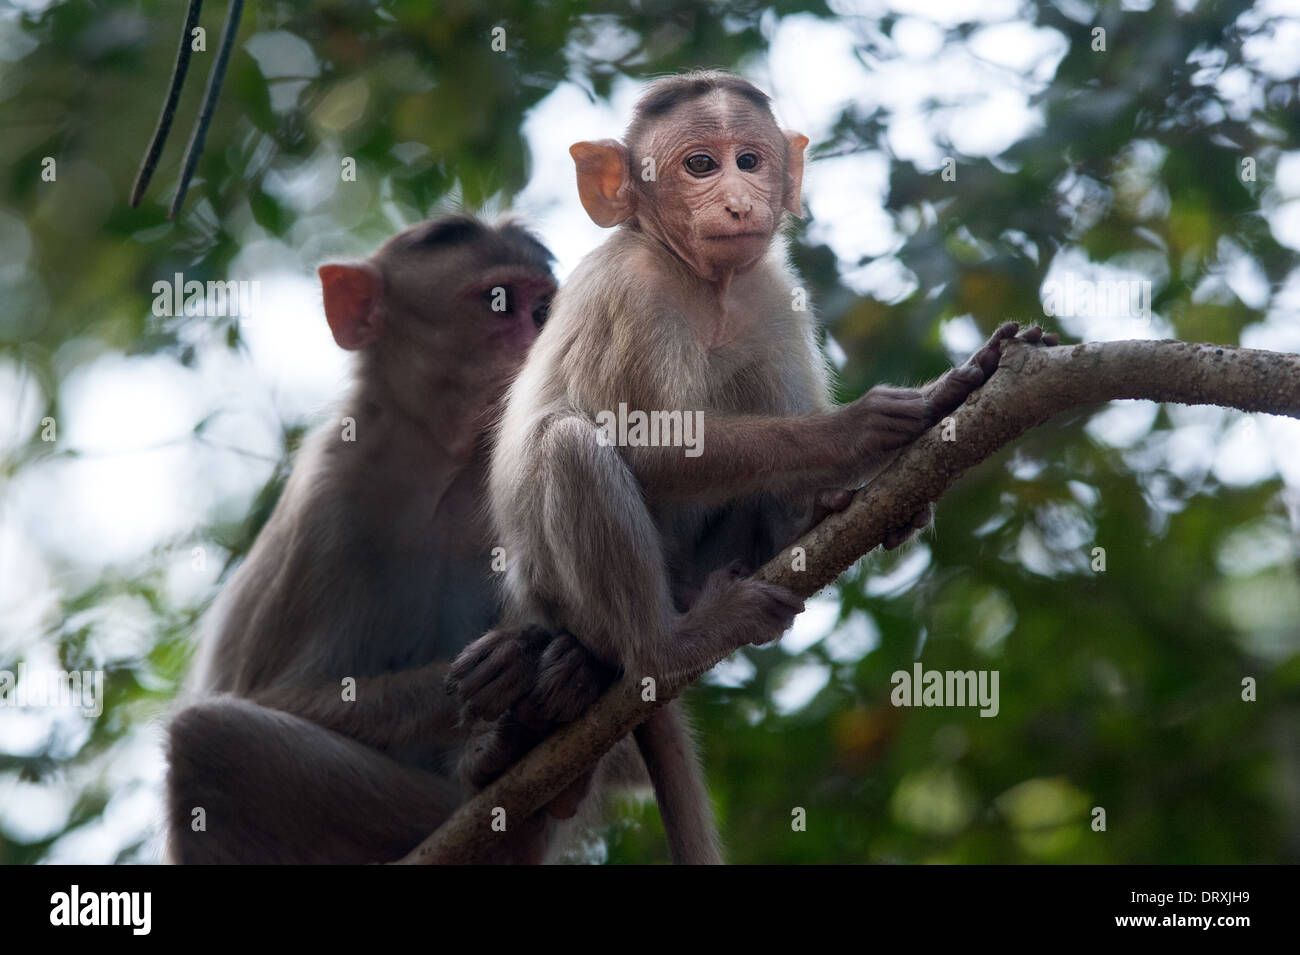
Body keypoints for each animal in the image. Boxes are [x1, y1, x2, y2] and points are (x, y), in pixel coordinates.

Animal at [165, 215, 596, 864]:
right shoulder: (325, 502)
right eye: (498, 303)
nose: (540, 346)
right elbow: (265, 697)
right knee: (205, 741)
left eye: (543, 311)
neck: (441, 468)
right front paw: (511, 661)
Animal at [451, 71, 1057, 865]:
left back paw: (811, 522)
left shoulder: (769, 288)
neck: (703, 281)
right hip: (563, 597)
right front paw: (870, 424)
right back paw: (663, 648)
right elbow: (643, 447)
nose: (739, 200)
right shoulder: (631, 293)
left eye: (749, 160)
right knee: (569, 446)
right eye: (699, 166)